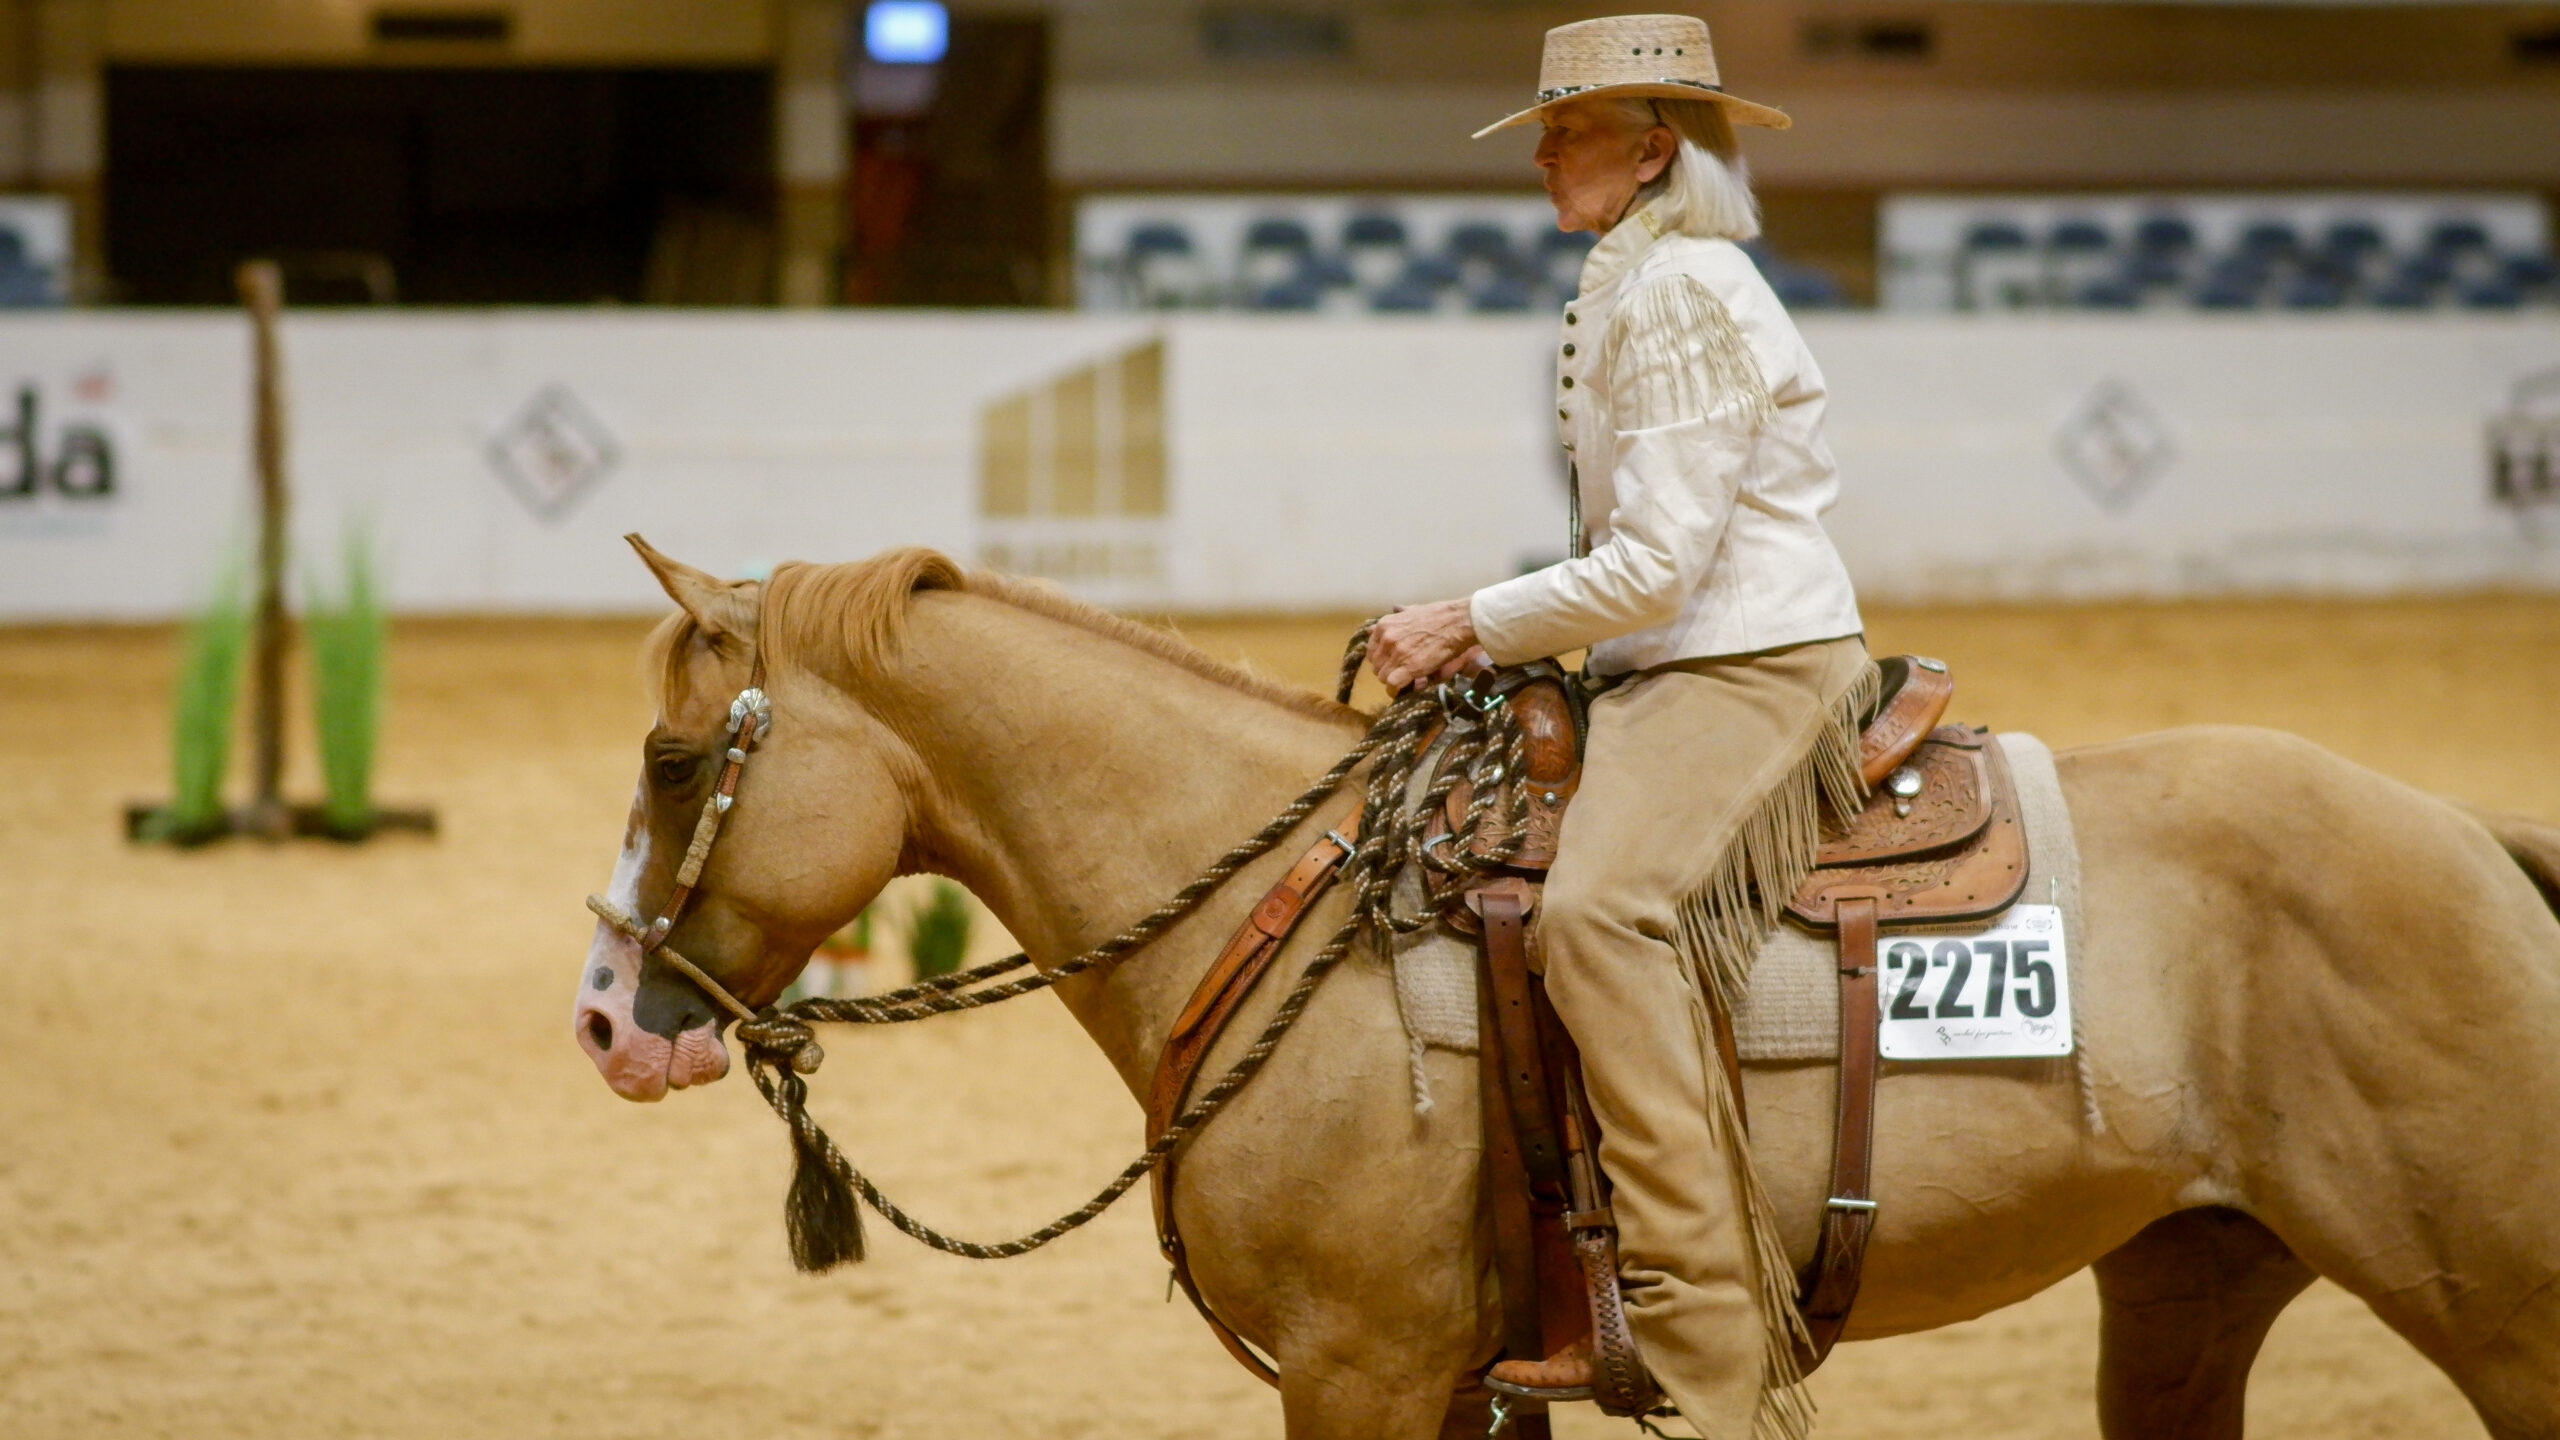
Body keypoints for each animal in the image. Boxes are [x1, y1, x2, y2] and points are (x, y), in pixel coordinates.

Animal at [573, 539, 2560, 1440]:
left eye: (675, 759)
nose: (604, 1019)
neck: (1289, 903)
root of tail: (2460, 831)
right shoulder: (1445, 1384)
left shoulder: (1361, 1376)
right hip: (2188, 1284)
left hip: (2501, 1314)